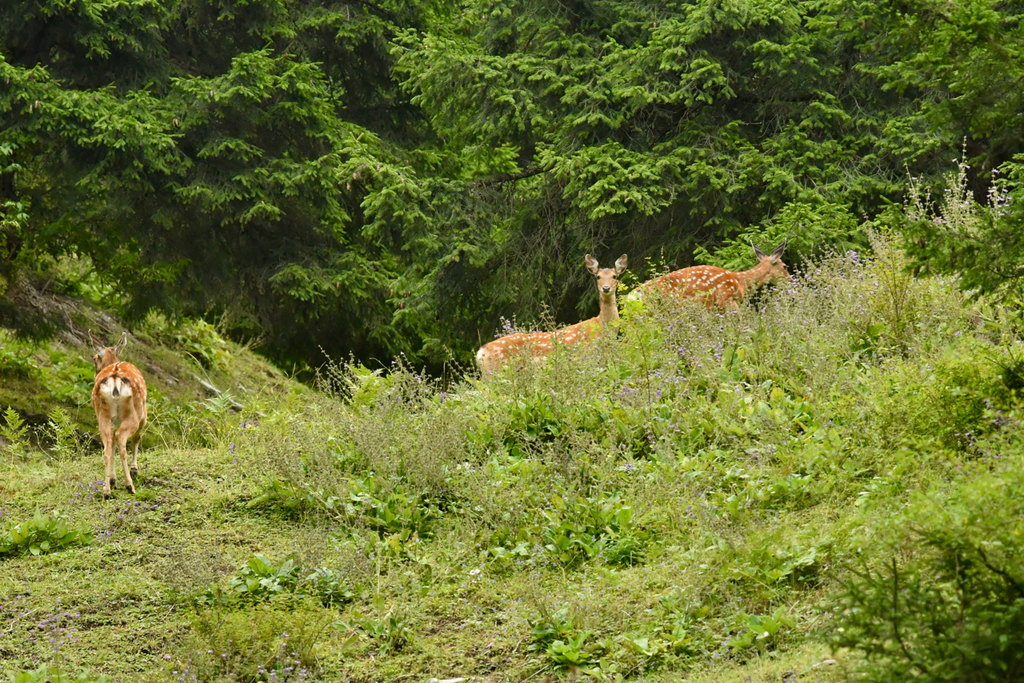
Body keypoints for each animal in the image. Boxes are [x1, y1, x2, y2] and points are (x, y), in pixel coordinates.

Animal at [90, 331, 148, 498]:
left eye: (94, 358)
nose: (95, 373)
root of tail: (115, 379)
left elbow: (112, 445)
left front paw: (113, 480)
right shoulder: (144, 414)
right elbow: (137, 438)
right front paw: (135, 469)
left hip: (102, 414)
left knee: (108, 446)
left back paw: (106, 490)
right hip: (135, 412)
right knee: (122, 438)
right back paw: (130, 485)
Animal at [476, 254, 628, 374]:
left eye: (614, 276)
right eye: (598, 277)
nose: (606, 288)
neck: (601, 326)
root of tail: (481, 352)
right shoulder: (587, 357)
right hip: (496, 371)